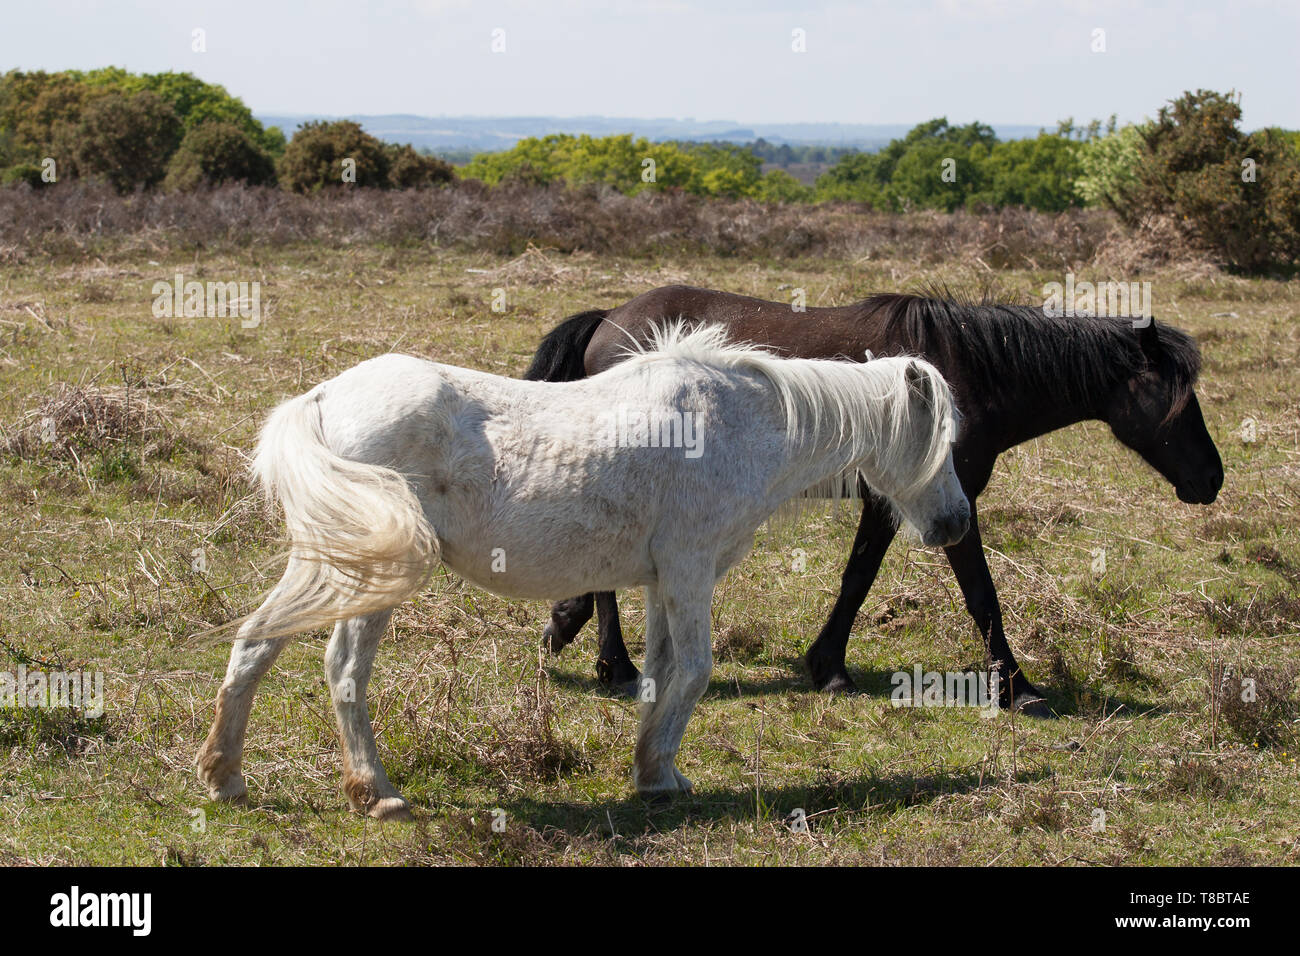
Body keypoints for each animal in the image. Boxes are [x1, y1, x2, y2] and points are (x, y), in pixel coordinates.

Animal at [196, 323, 969, 818]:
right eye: (945, 440)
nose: (958, 524)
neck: (739, 426)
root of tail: (323, 398)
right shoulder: (689, 572)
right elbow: (695, 671)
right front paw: (657, 778)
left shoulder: (661, 582)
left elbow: (662, 671)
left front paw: (655, 769)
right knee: (344, 672)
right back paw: (376, 794)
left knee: (259, 643)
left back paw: (226, 778)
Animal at [526, 286, 1224, 715]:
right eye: (1177, 400)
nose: (1212, 478)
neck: (963, 376)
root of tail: (610, 320)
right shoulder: (945, 503)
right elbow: (980, 594)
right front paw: (1018, 687)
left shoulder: (892, 504)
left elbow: (858, 577)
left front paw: (827, 665)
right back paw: (612, 661)